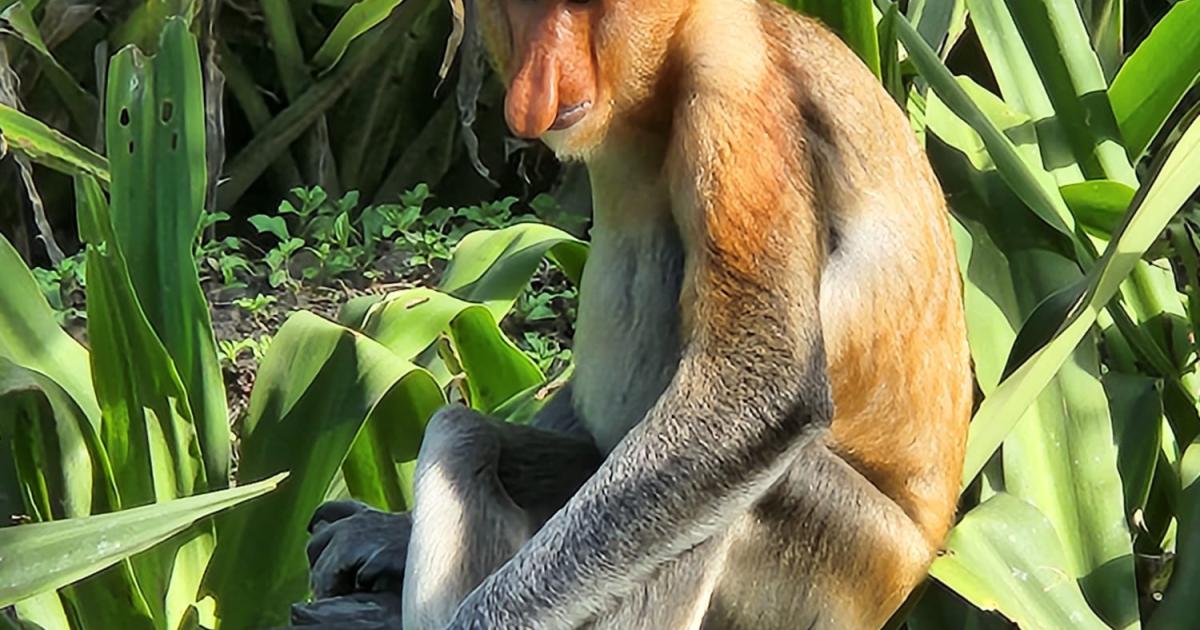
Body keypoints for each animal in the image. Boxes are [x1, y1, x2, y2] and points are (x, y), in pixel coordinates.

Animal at [298, 0, 972, 628]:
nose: (535, 89)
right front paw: (384, 533)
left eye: (583, 8)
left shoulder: (736, 87)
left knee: (735, 499)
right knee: (466, 433)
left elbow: (761, 387)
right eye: (521, 9)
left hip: (841, 568)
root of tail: (922, 559)